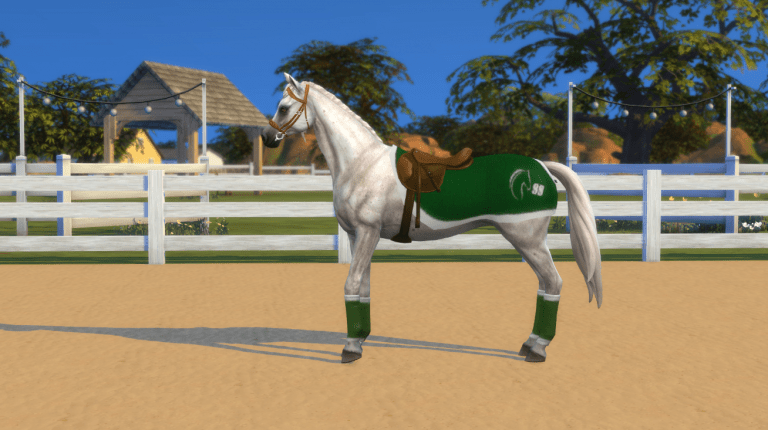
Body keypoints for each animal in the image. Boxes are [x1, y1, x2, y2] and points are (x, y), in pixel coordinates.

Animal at [260, 73, 603, 363]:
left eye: (283, 107)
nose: (267, 137)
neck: (362, 164)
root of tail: (542, 167)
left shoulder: (367, 232)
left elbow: (352, 283)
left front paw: (350, 349)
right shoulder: (360, 236)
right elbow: (364, 287)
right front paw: (360, 338)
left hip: (527, 239)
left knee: (553, 282)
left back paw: (538, 349)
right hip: (528, 241)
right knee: (546, 284)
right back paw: (530, 344)